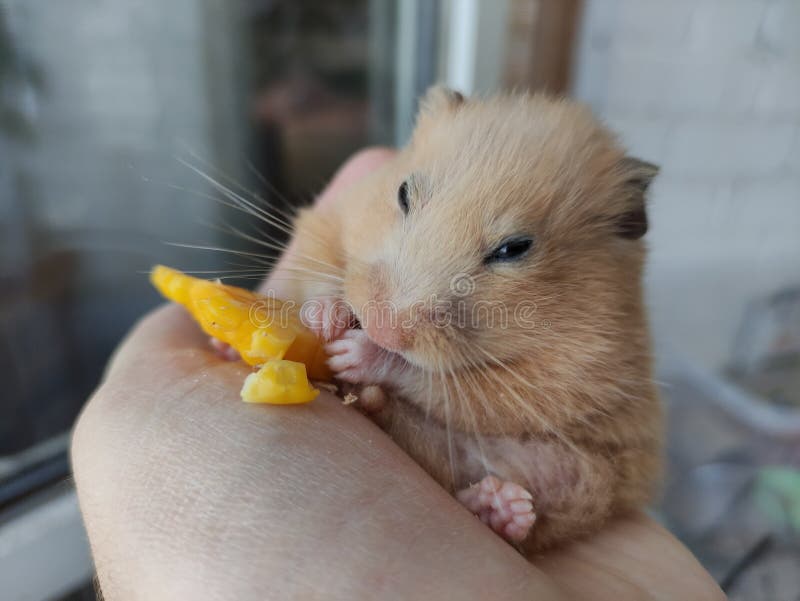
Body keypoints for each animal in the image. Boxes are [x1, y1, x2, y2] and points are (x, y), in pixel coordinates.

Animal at [279, 87, 663, 554]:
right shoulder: (328, 221)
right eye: (403, 193)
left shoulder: (572, 375)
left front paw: (355, 352)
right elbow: (319, 267)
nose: (383, 328)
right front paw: (327, 318)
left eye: (514, 249)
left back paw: (501, 507)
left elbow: (448, 386)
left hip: (589, 475)